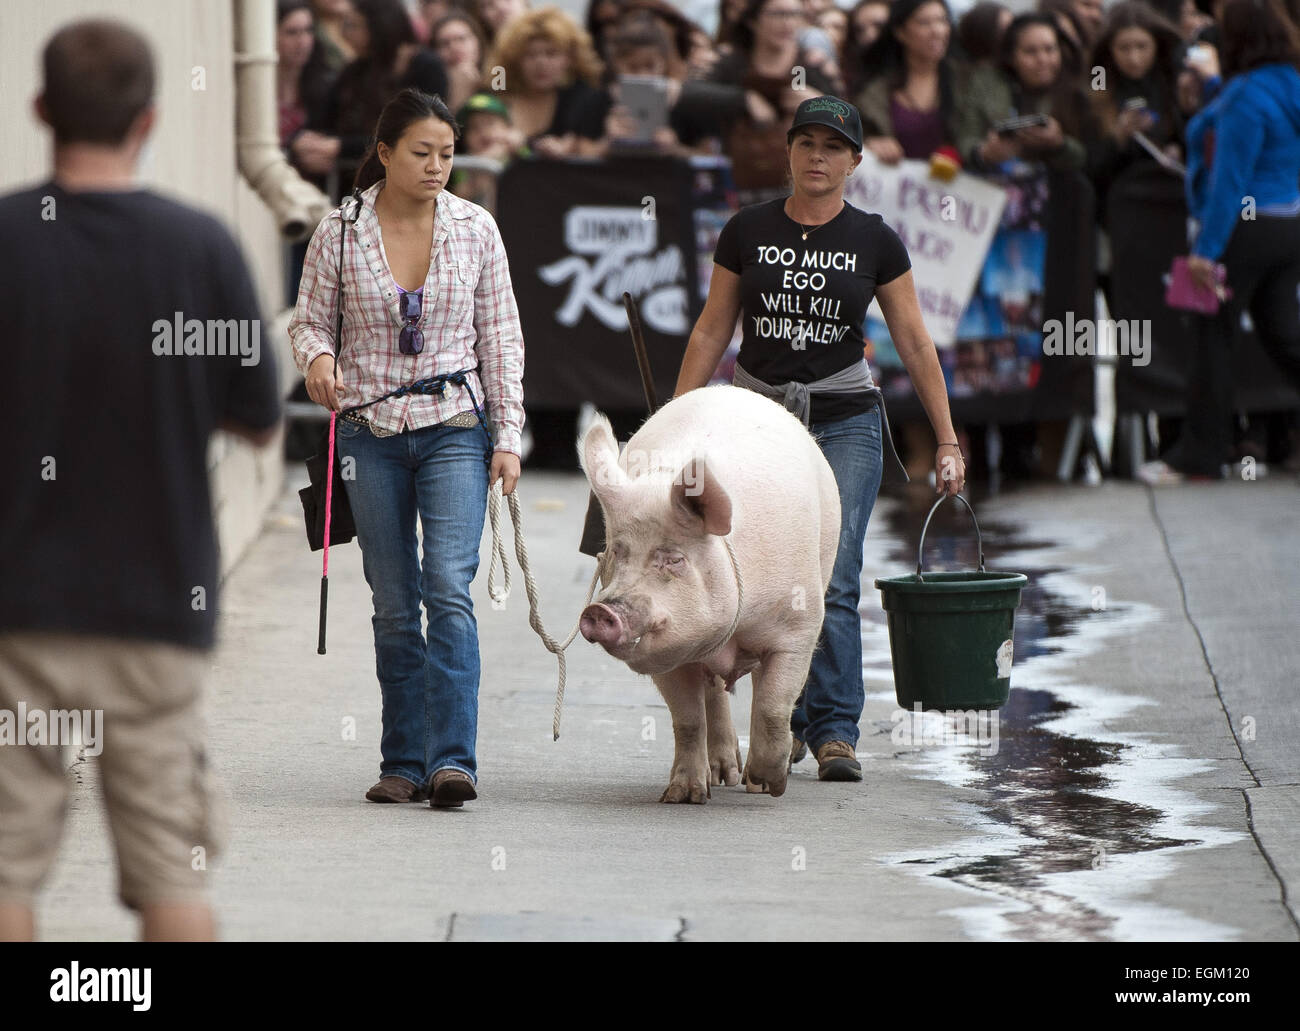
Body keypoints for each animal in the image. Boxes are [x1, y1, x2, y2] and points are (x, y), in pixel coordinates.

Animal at [577, 384, 840, 803]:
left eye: (673, 559)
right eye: (617, 552)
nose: (602, 611)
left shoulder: (799, 628)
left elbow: (772, 706)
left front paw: (770, 785)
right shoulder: (670, 657)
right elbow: (687, 720)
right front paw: (682, 797)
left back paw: (747, 781)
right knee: (715, 692)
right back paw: (722, 775)